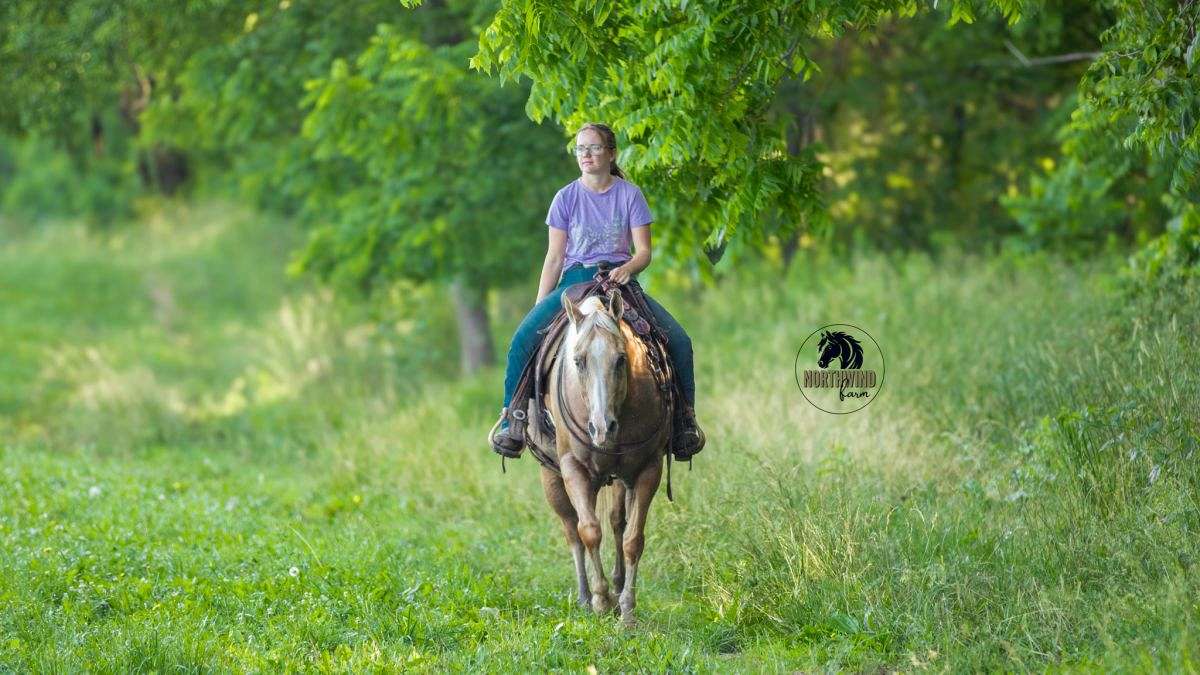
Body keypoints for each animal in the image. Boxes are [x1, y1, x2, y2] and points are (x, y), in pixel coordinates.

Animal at [524, 288, 673, 628]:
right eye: (578, 361)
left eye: (621, 359)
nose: (602, 428)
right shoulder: (573, 468)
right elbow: (589, 530)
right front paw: (600, 601)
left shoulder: (648, 469)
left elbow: (633, 539)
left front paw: (626, 611)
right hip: (553, 477)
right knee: (572, 527)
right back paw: (584, 597)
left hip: (618, 479)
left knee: (617, 522)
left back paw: (617, 591)